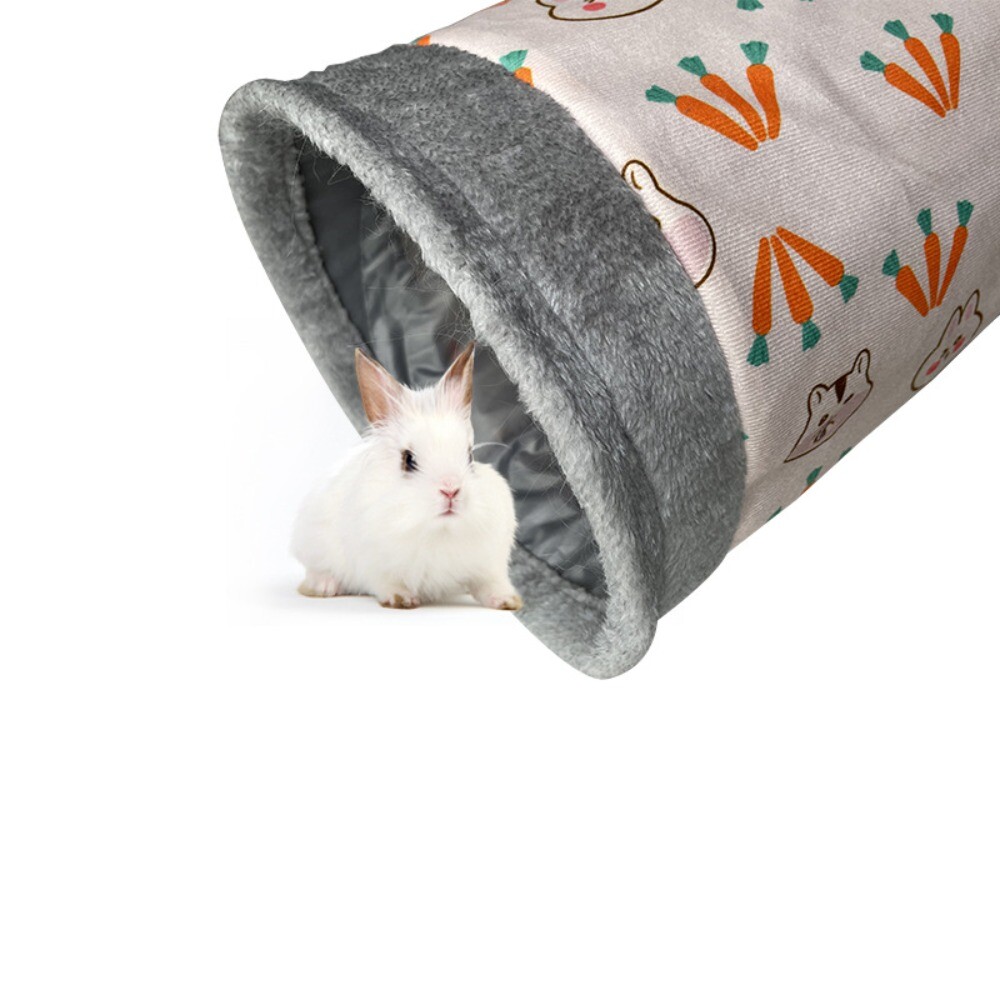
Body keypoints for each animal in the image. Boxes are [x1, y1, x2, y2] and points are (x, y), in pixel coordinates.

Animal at [292, 343, 523, 612]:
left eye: (469, 457)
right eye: (408, 460)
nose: (450, 490)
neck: (438, 531)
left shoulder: (488, 566)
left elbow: (490, 585)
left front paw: (508, 601)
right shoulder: (375, 565)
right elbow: (387, 582)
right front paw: (401, 600)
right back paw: (323, 587)